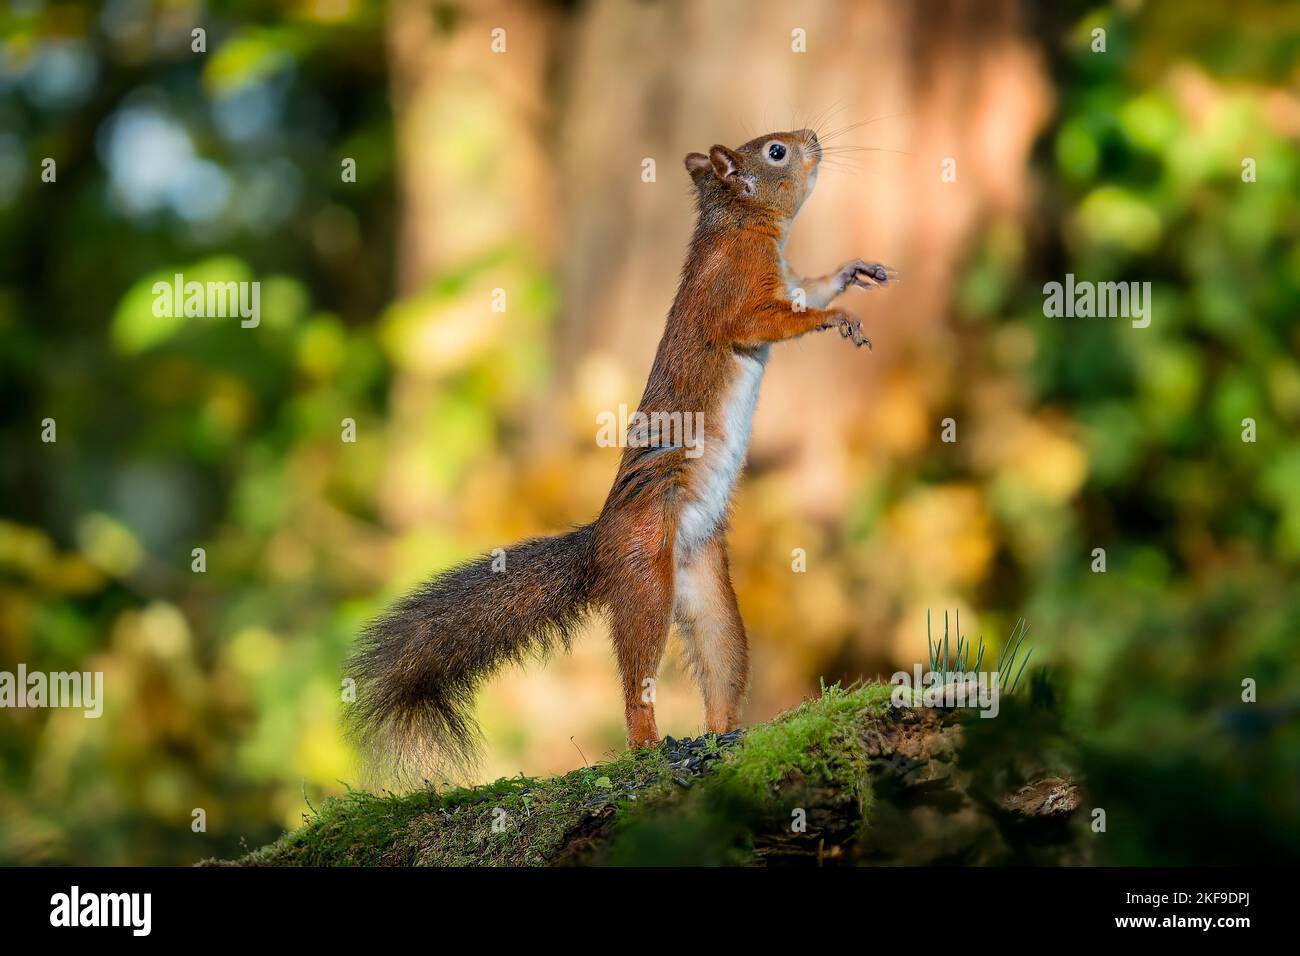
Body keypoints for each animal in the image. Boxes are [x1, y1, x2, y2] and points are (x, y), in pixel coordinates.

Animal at [346, 128, 894, 781]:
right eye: (776, 152)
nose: (812, 137)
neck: (737, 226)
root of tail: (602, 543)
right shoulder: (734, 293)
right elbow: (767, 321)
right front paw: (839, 316)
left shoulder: (786, 279)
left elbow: (807, 288)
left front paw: (851, 273)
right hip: (643, 577)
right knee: (637, 682)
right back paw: (649, 743)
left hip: (707, 591)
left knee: (720, 660)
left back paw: (726, 733)